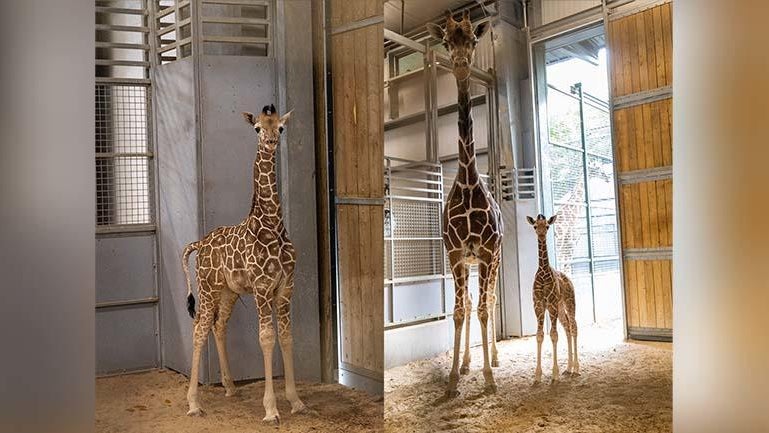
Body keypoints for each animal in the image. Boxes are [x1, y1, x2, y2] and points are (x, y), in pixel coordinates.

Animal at [180, 104, 305, 424]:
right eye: (258, 128)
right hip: (208, 288)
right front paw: (271, 408)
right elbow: (266, 338)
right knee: (199, 328)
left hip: (229, 292)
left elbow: (287, 337)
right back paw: (194, 403)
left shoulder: (286, 288)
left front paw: (296, 401)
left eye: (280, 128)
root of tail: (199, 243)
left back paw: (230, 386)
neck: (272, 225)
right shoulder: (262, 288)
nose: (271, 142)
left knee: (218, 325)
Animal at [526, 214, 579, 383]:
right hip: (561, 307)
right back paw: (568, 368)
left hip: (569, 302)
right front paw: (537, 375)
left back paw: (576, 368)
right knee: (567, 327)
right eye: (535, 226)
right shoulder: (538, 305)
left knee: (574, 327)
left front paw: (554, 373)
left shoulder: (551, 304)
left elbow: (554, 335)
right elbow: (539, 335)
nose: (541, 234)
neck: (543, 272)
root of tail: (569, 279)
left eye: (547, 226)